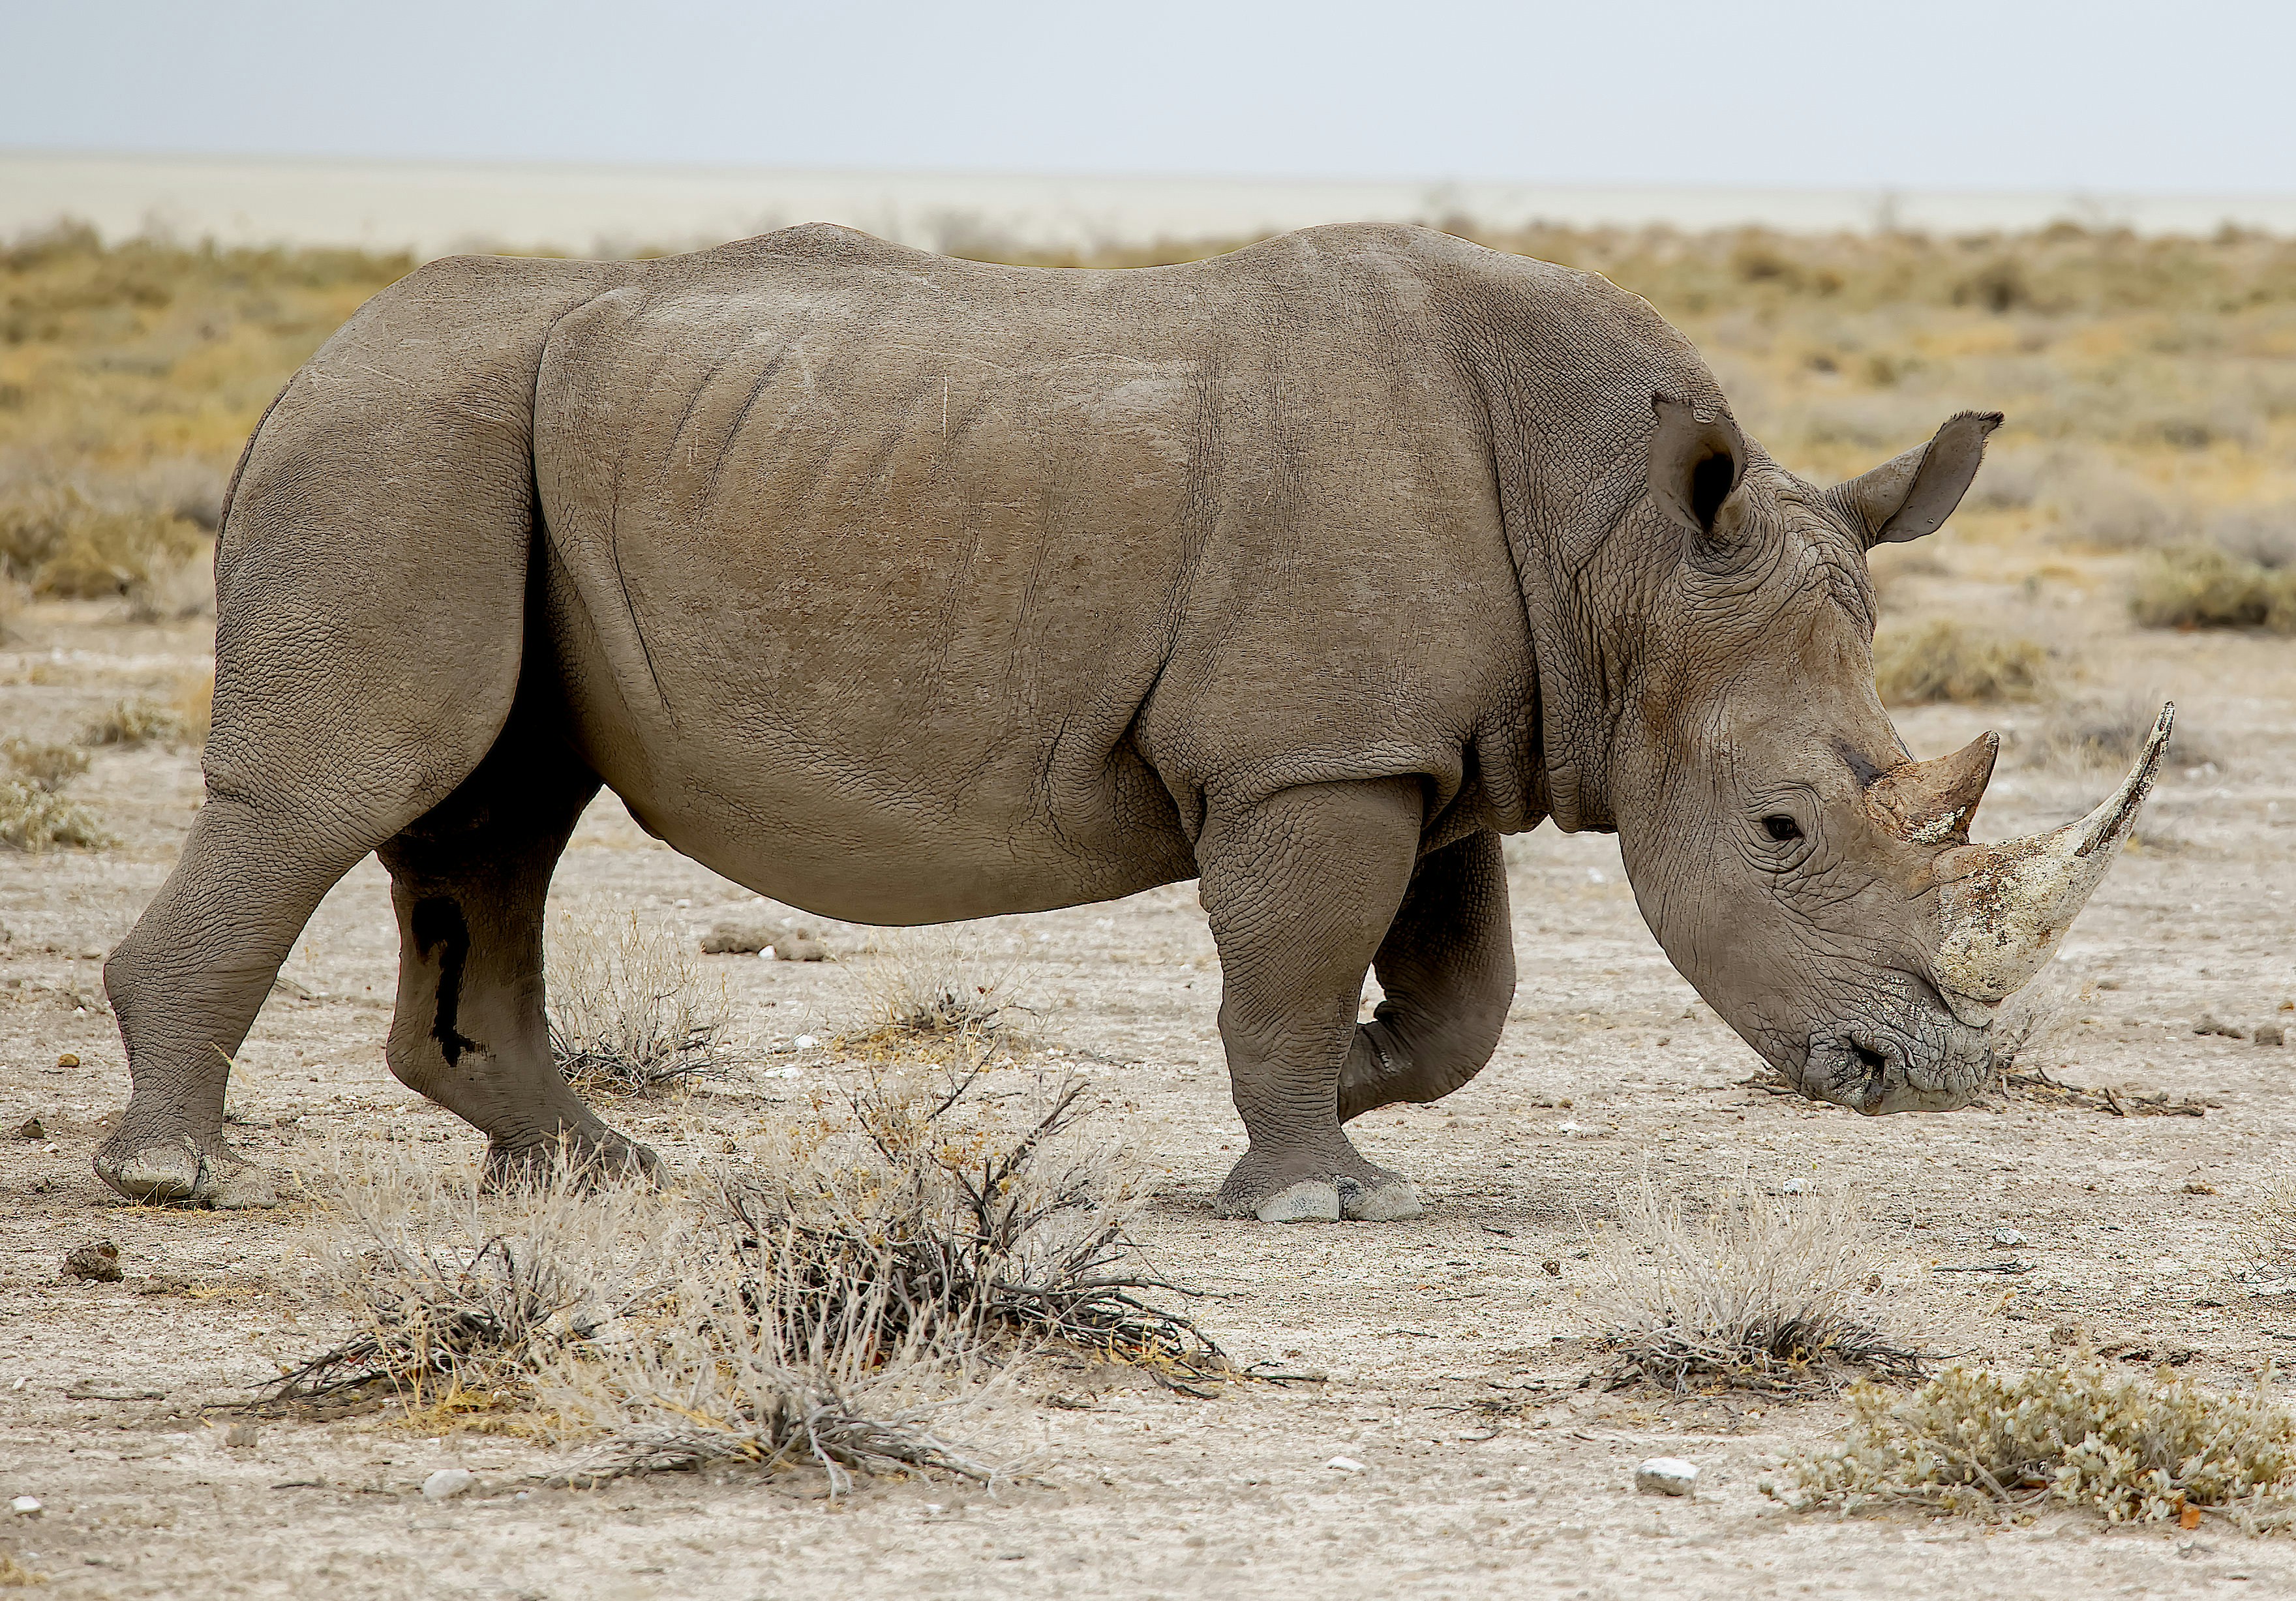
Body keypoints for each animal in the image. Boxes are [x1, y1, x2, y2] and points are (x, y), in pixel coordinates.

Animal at [94, 223, 2170, 1222]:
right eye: (1780, 832)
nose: (1925, 1076)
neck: (1628, 557)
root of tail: (304, 363)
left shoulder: (1421, 752)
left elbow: (1460, 999)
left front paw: (1346, 1104)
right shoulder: (1306, 751)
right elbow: (1290, 960)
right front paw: (1311, 1191)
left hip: (479, 442)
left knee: (497, 817)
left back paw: (594, 1172)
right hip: (404, 436)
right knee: (356, 785)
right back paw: (179, 1178)